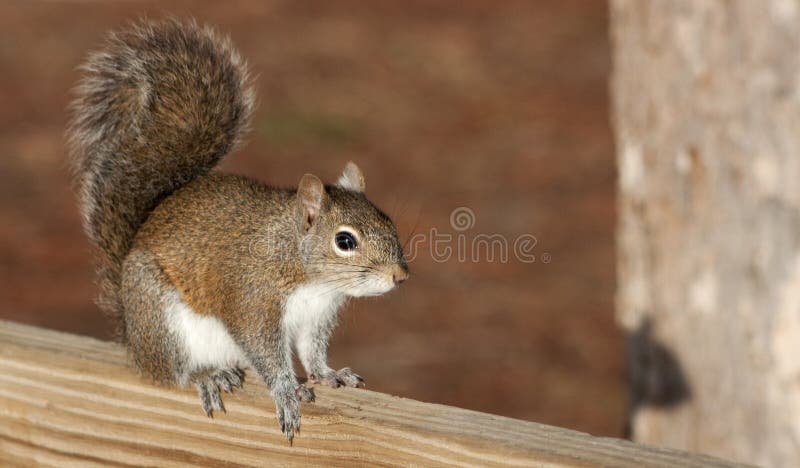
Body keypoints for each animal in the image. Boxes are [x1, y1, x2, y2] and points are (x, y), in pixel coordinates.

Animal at [67, 19, 408, 443]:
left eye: (388, 220)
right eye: (344, 241)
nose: (399, 275)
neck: (307, 273)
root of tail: (132, 335)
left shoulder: (315, 317)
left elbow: (312, 351)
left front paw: (328, 375)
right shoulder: (252, 302)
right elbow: (266, 353)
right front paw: (287, 391)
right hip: (162, 321)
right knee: (171, 373)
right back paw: (207, 376)